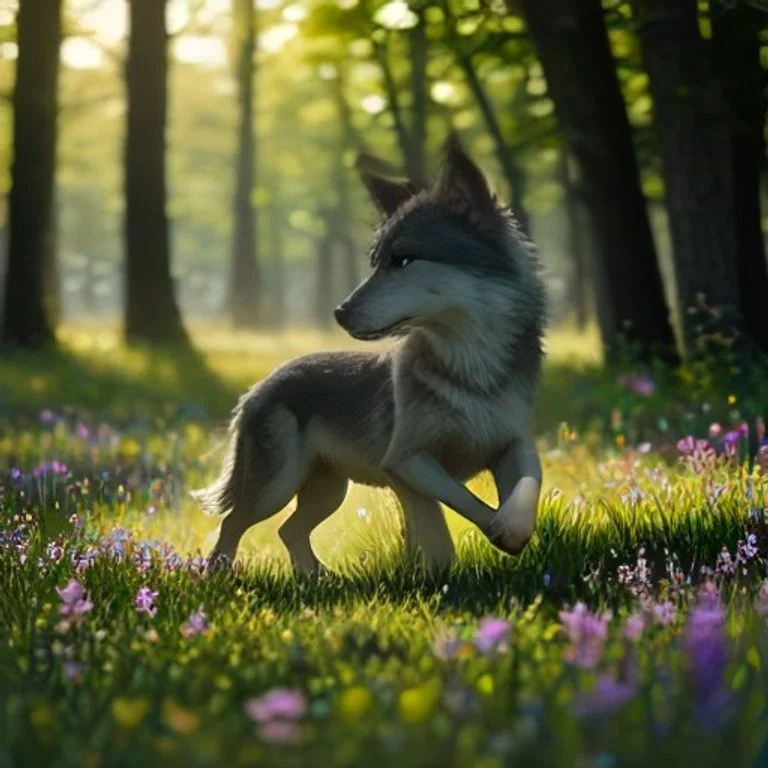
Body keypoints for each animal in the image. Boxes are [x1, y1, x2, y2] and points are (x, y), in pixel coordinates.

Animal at [192, 136, 546, 575]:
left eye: (403, 260)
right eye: (376, 262)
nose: (339, 312)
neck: (473, 368)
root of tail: (260, 385)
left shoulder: (512, 446)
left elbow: (530, 482)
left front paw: (513, 528)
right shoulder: (407, 460)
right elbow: (460, 505)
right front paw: (490, 536)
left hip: (328, 491)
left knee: (288, 530)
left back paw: (317, 578)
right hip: (277, 487)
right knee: (234, 521)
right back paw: (220, 573)